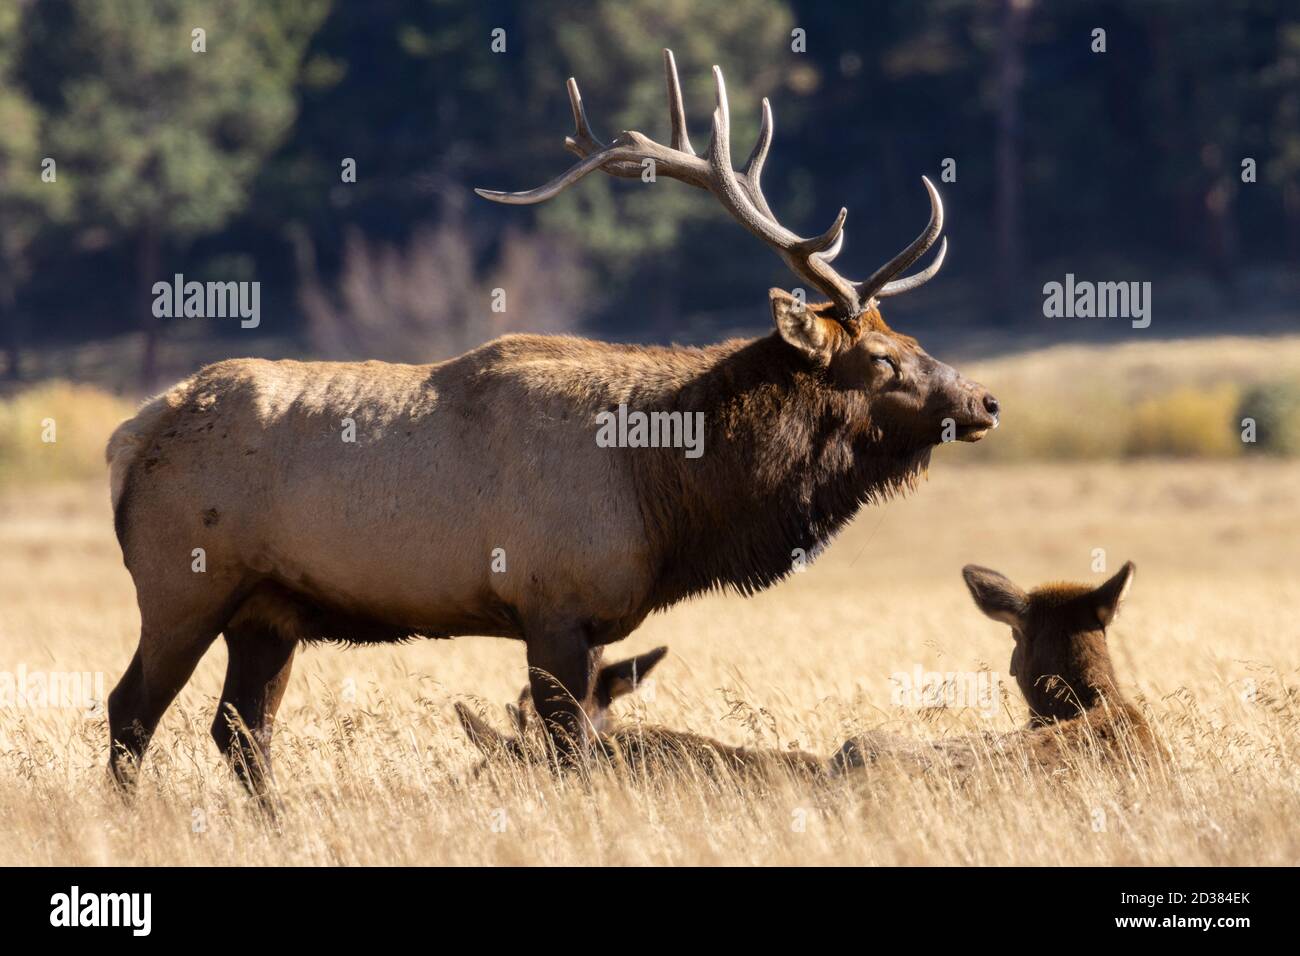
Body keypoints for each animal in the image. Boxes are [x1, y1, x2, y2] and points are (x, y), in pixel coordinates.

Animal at [104, 49, 999, 797]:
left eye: (908, 338)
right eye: (880, 358)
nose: (984, 401)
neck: (665, 490)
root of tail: (133, 434)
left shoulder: (597, 621)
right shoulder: (554, 604)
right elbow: (570, 753)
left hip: (268, 610)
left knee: (241, 731)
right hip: (184, 583)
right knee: (131, 712)